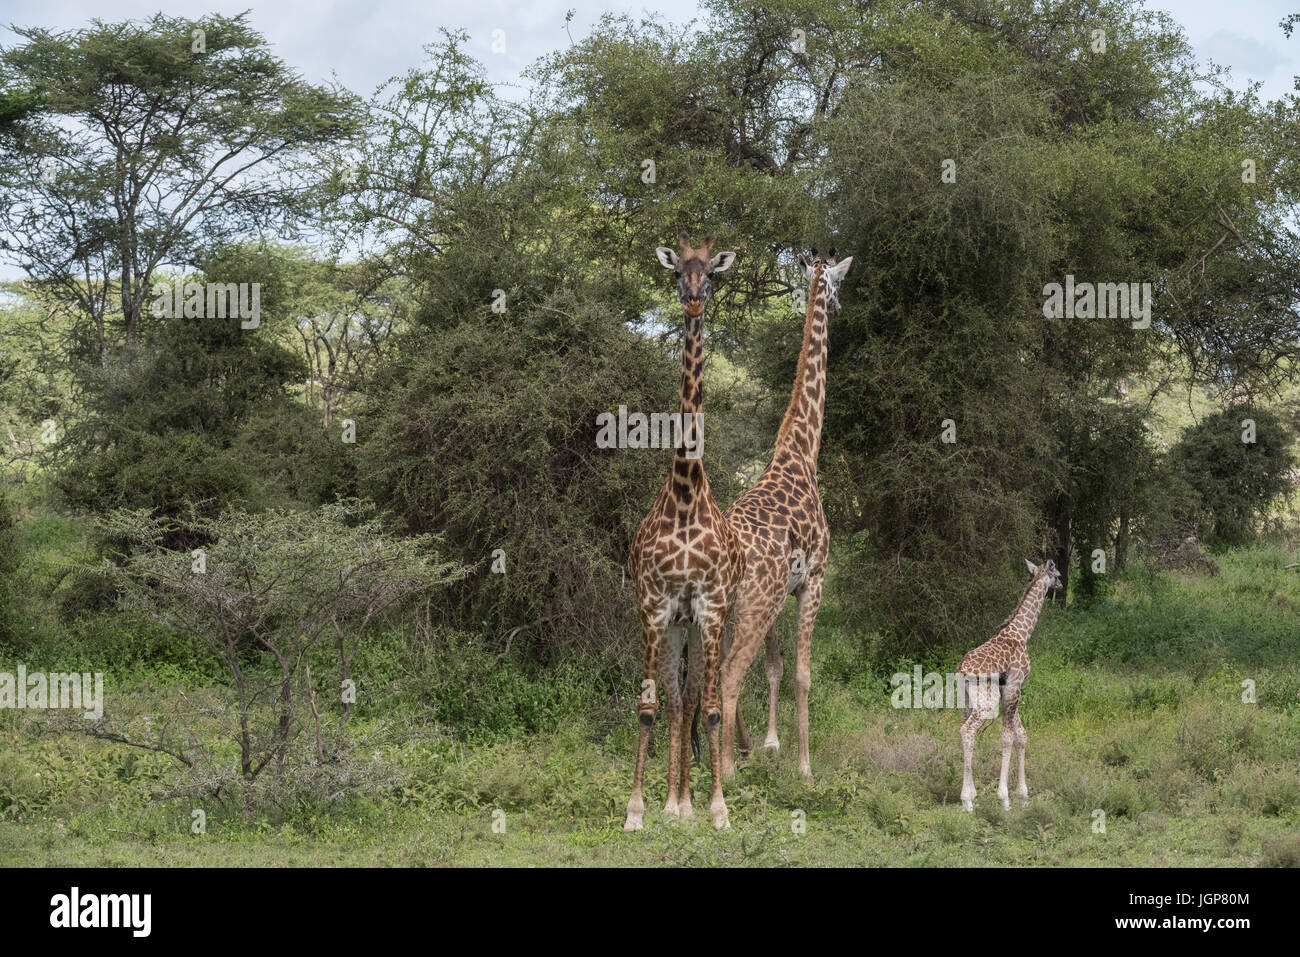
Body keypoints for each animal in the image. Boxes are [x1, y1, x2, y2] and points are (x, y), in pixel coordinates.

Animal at [716, 251, 853, 781]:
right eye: (839, 284)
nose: (838, 307)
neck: (802, 451)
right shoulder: (813, 579)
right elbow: (801, 674)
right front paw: (804, 766)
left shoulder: (782, 595)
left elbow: (775, 668)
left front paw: (770, 745)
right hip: (753, 605)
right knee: (729, 674)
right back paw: (727, 772)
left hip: (724, 609)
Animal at [957, 558, 1062, 811]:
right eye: (1057, 574)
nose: (1062, 585)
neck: (1022, 634)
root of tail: (962, 670)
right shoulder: (1015, 685)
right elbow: (1008, 737)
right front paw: (1004, 798)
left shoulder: (1010, 690)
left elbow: (1021, 734)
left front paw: (1023, 795)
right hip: (987, 702)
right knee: (968, 730)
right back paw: (967, 800)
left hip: (966, 700)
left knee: (964, 730)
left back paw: (971, 795)